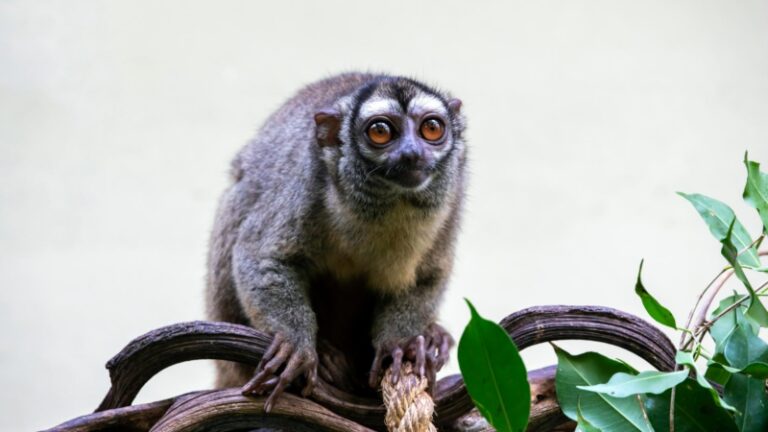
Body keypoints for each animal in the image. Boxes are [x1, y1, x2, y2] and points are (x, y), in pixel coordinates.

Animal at [205, 72, 467, 412]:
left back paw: (433, 338)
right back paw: (330, 356)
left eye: (432, 128)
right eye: (380, 131)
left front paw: (400, 344)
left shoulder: (452, 196)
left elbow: (428, 276)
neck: (388, 202)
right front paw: (296, 345)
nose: (412, 153)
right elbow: (262, 256)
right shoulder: (306, 181)